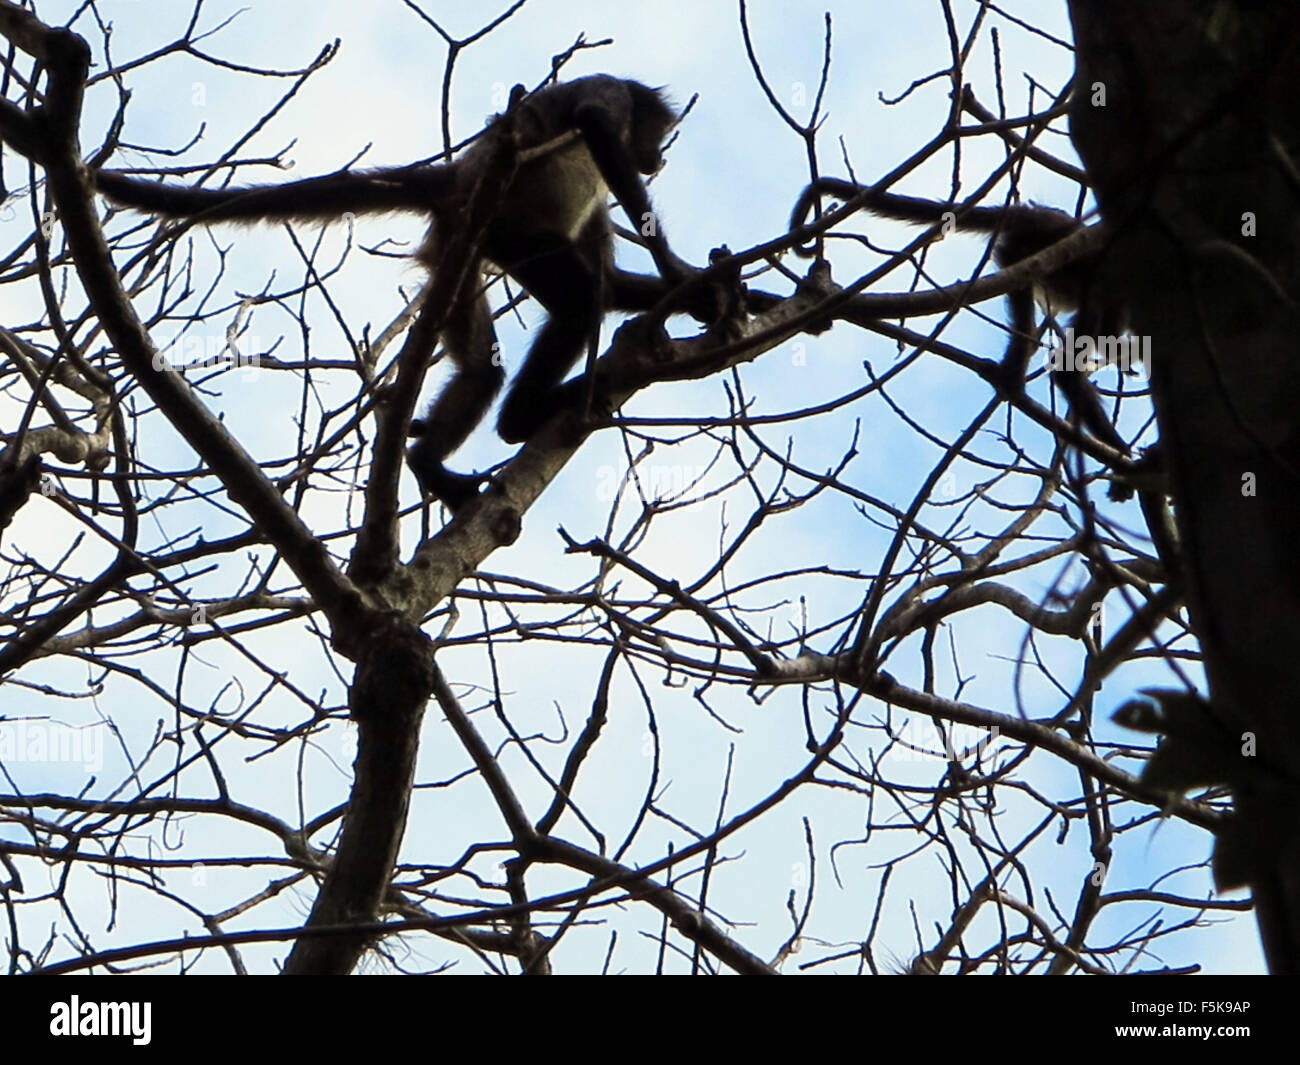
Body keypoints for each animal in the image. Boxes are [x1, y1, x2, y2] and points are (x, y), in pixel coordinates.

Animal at [94, 75, 717, 512]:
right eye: (658, 136)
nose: (659, 158)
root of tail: (459, 178)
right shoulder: (608, 97)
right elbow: (592, 124)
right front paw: (676, 268)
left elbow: (612, 281)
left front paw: (710, 296)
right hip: (502, 229)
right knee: (578, 298)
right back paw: (518, 420)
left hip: (456, 250)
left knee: (482, 370)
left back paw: (427, 460)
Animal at [789, 179, 1128, 453]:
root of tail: (1033, 214)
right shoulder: (1098, 298)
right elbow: (1066, 370)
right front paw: (1123, 453)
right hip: (1021, 251)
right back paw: (1011, 377)